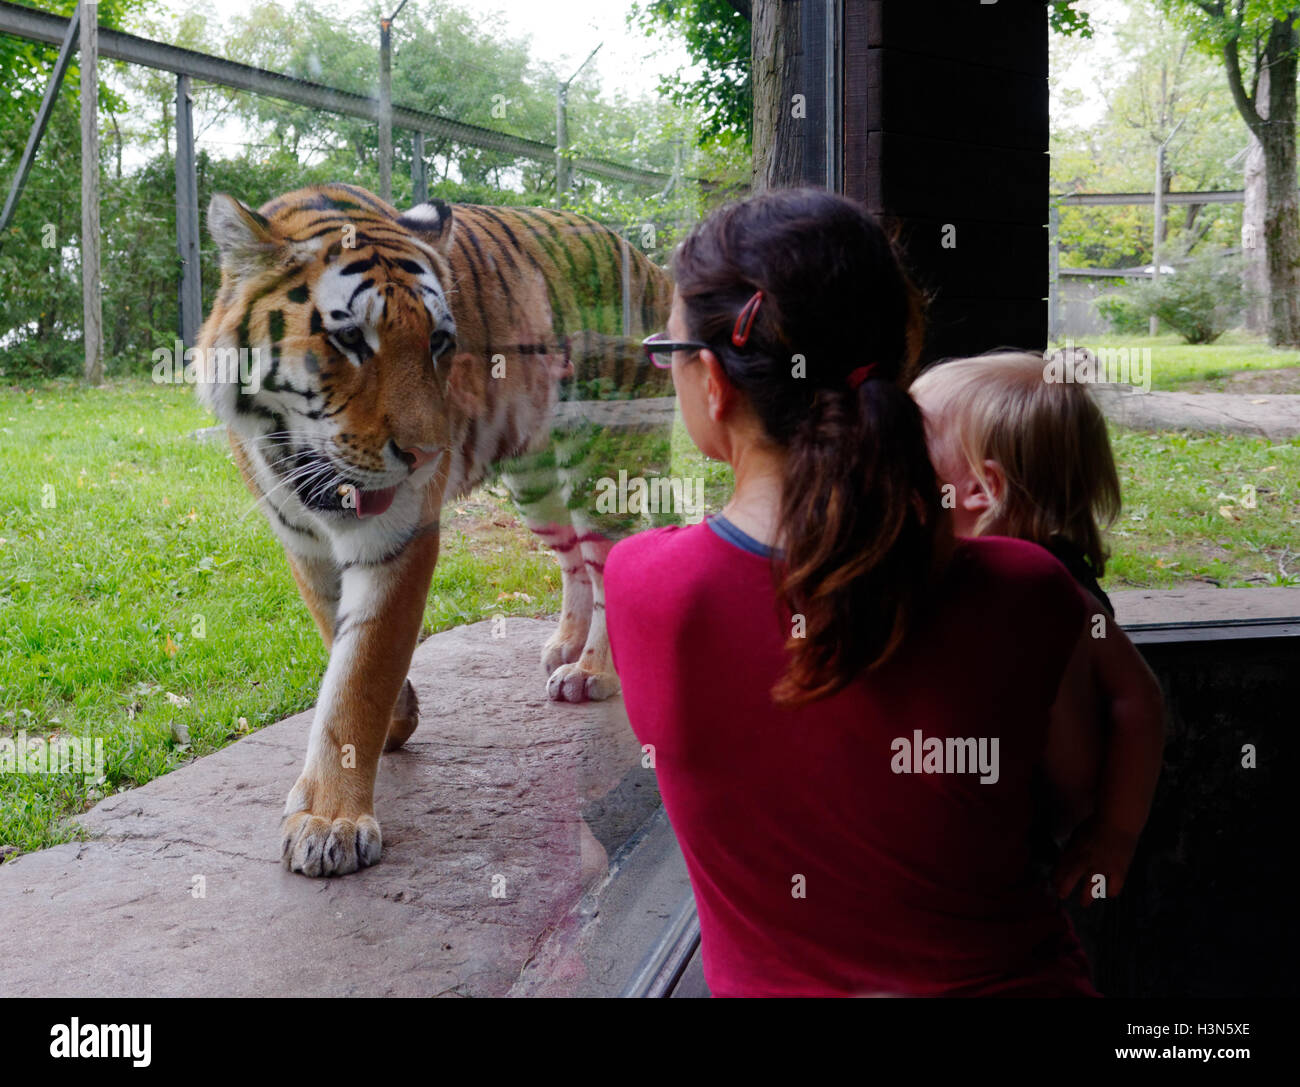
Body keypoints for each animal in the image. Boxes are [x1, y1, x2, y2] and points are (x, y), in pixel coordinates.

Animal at [194, 182, 674, 877]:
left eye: (440, 342)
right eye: (350, 339)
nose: (425, 454)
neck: (298, 459)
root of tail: (649, 262)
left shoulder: (399, 540)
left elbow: (360, 675)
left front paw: (331, 821)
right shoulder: (301, 542)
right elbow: (337, 639)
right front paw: (398, 720)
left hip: (605, 460)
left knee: (612, 558)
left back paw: (591, 671)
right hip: (535, 485)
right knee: (575, 561)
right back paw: (565, 644)